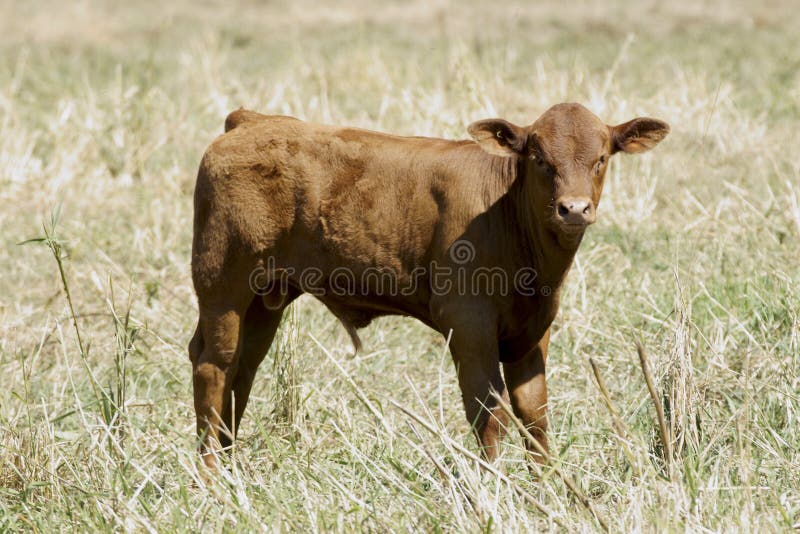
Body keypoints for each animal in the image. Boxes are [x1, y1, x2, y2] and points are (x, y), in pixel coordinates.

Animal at [188, 103, 669, 469]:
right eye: (540, 160)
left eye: (601, 158)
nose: (574, 209)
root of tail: (251, 120)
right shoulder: (468, 321)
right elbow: (487, 410)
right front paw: (495, 485)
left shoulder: (534, 328)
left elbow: (534, 411)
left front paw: (548, 486)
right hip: (222, 282)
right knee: (214, 364)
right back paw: (210, 473)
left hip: (265, 298)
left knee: (244, 367)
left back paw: (229, 463)